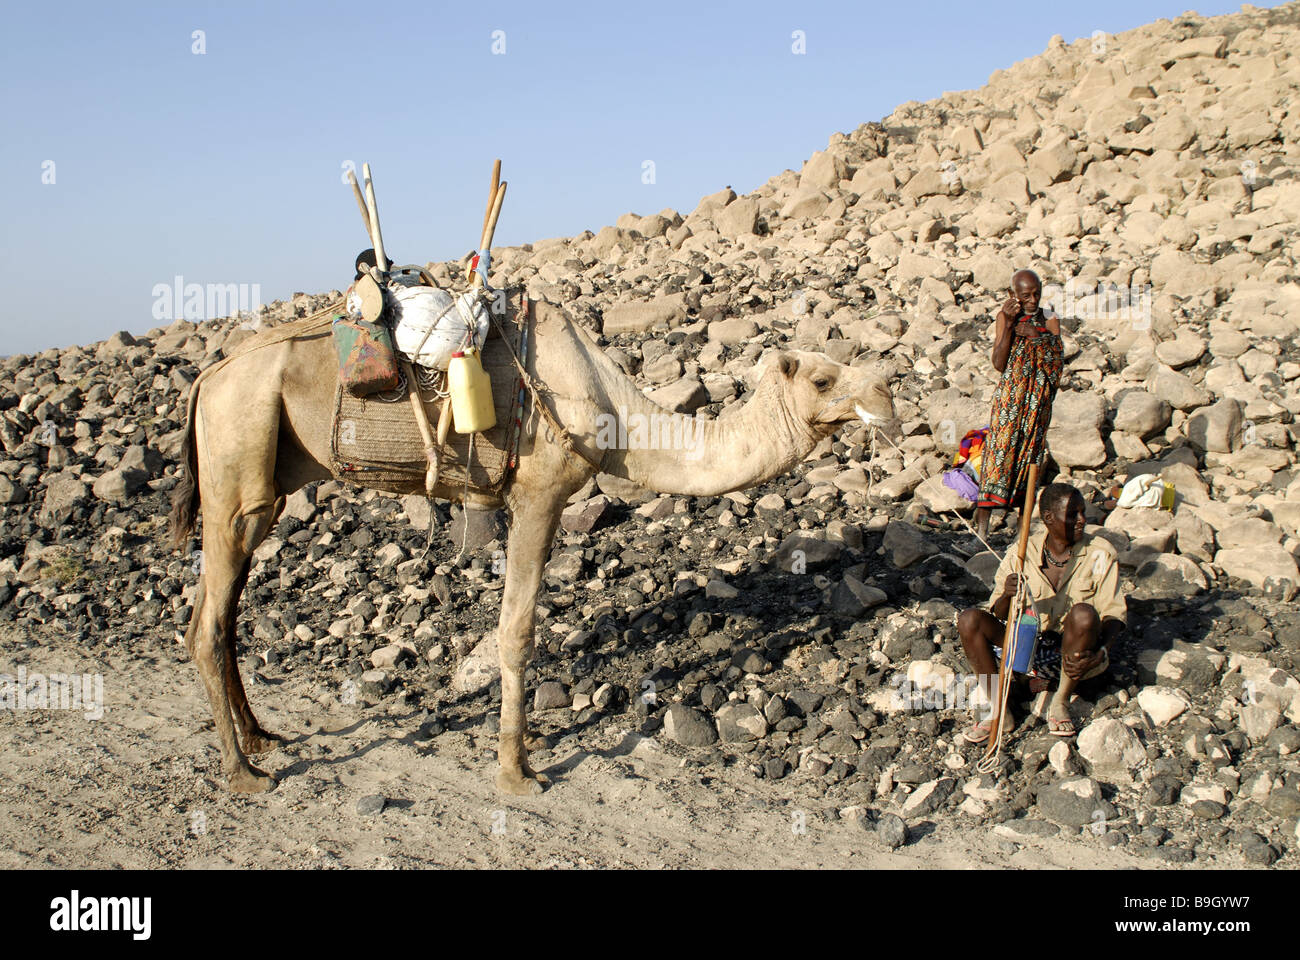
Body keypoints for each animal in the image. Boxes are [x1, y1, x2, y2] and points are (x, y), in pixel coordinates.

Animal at [168, 296, 897, 795]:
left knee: (220, 612)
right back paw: (242, 772)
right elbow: (515, 631)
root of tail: (206, 378)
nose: (888, 393)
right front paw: (518, 770)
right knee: (206, 622)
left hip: (265, 481)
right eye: (824, 380)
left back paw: (262, 738)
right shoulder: (539, 494)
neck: (612, 408)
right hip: (239, 451)